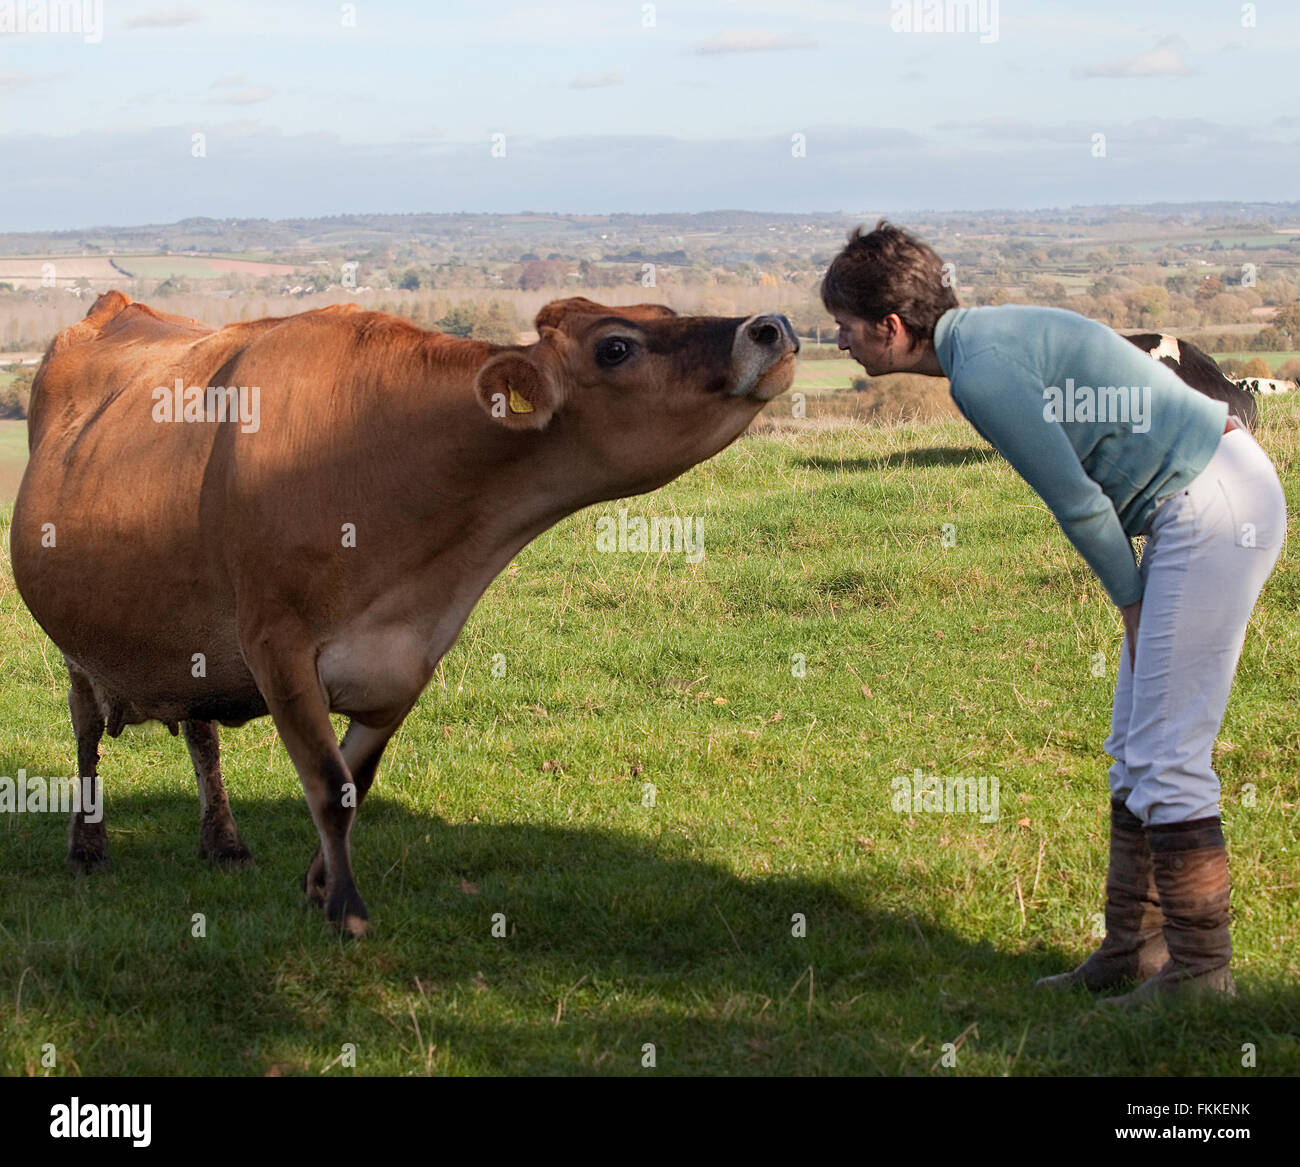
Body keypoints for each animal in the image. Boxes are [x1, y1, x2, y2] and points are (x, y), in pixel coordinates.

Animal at [11, 292, 798, 936]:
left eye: (661, 310)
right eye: (615, 347)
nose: (772, 327)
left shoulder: (408, 658)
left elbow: (354, 784)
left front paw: (315, 885)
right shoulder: (277, 645)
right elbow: (327, 786)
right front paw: (345, 911)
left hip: (187, 643)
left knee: (201, 731)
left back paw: (224, 841)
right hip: (77, 646)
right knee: (87, 729)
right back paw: (88, 845)